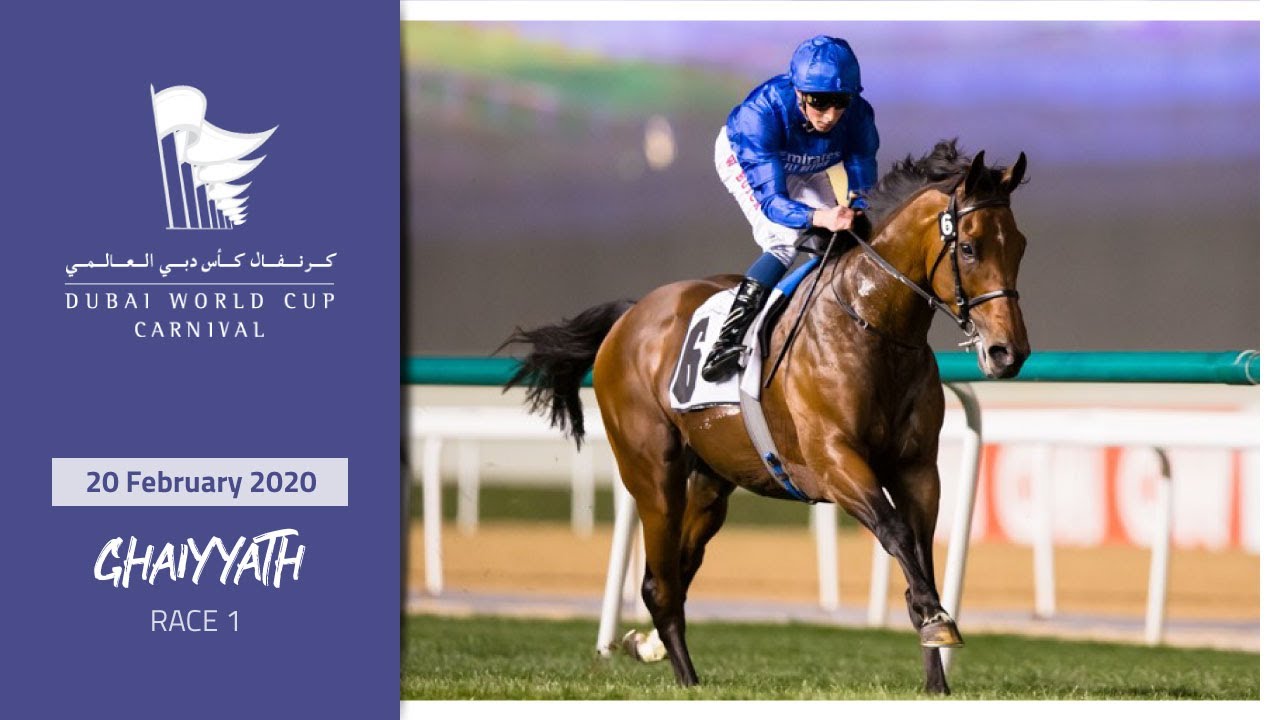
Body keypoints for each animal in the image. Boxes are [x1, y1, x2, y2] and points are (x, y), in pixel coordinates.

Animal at [501, 140, 1030, 694]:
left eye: (1019, 245)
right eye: (969, 248)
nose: (1007, 352)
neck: (872, 327)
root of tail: (629, 315)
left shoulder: (917, 469)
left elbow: (921, 554)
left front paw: (935, 673)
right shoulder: (834, 462)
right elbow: (897, 533)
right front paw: (935, 619)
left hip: (712, 480)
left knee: (679, 571)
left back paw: (652, 648)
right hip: (652, 471)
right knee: (658, 582)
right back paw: (685, 678)